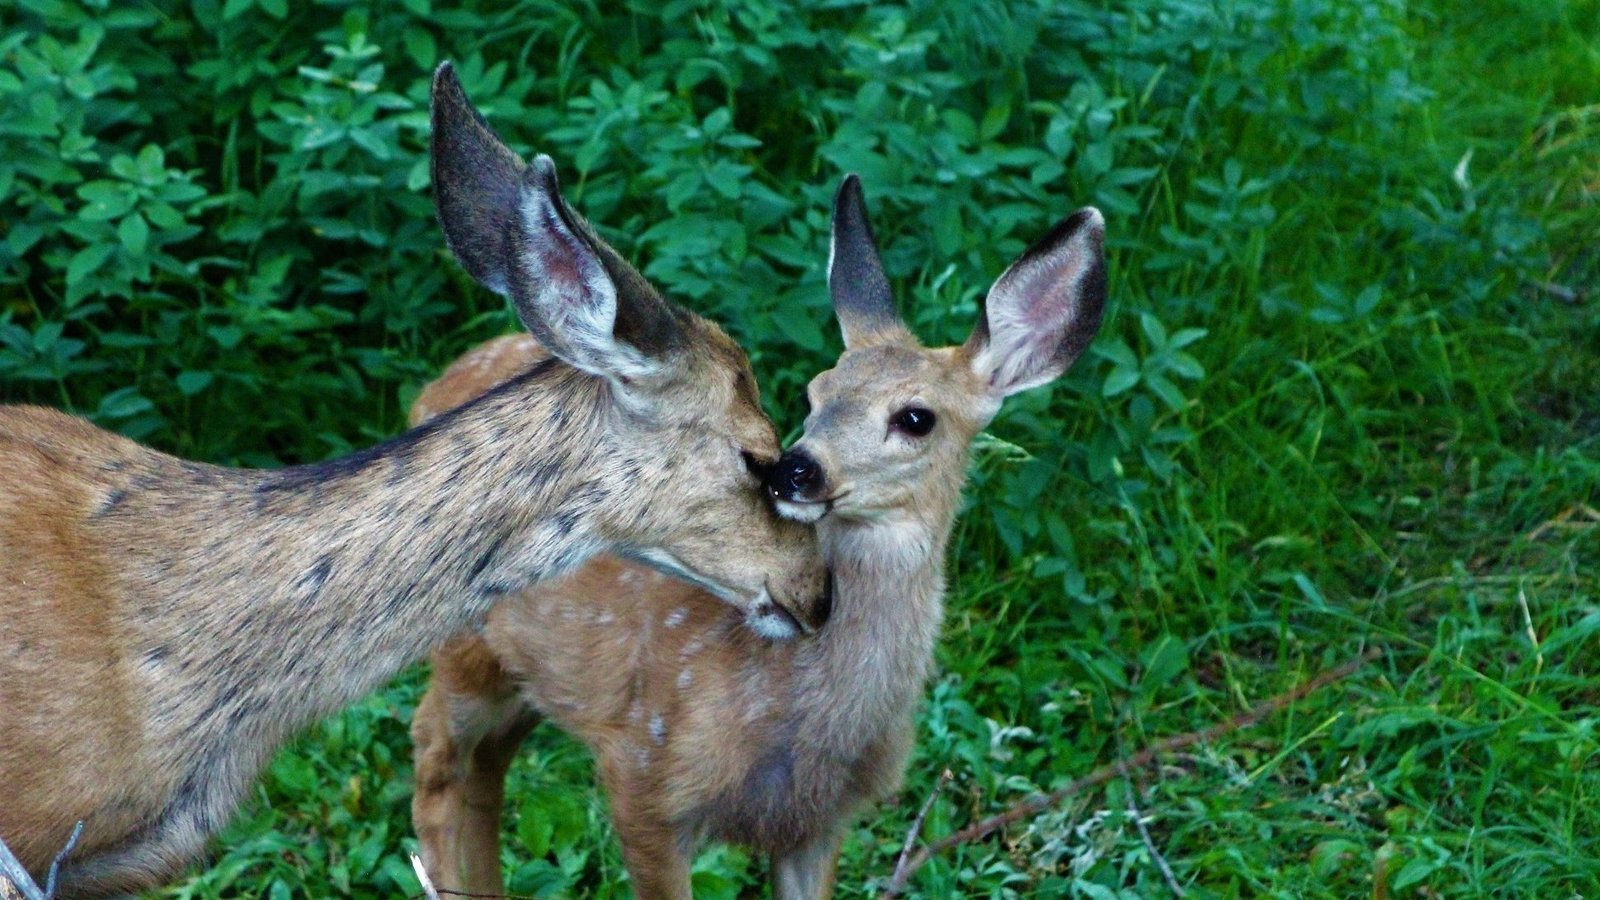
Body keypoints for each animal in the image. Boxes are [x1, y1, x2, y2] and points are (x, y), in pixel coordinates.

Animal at [409, 174, 1107, 898]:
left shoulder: (821, 820)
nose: (794, 468)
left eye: (917, 417)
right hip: (459, 639)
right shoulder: (645, 772)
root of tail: (440, 380)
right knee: (434, 750)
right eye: (816, 390)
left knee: (486, 765)